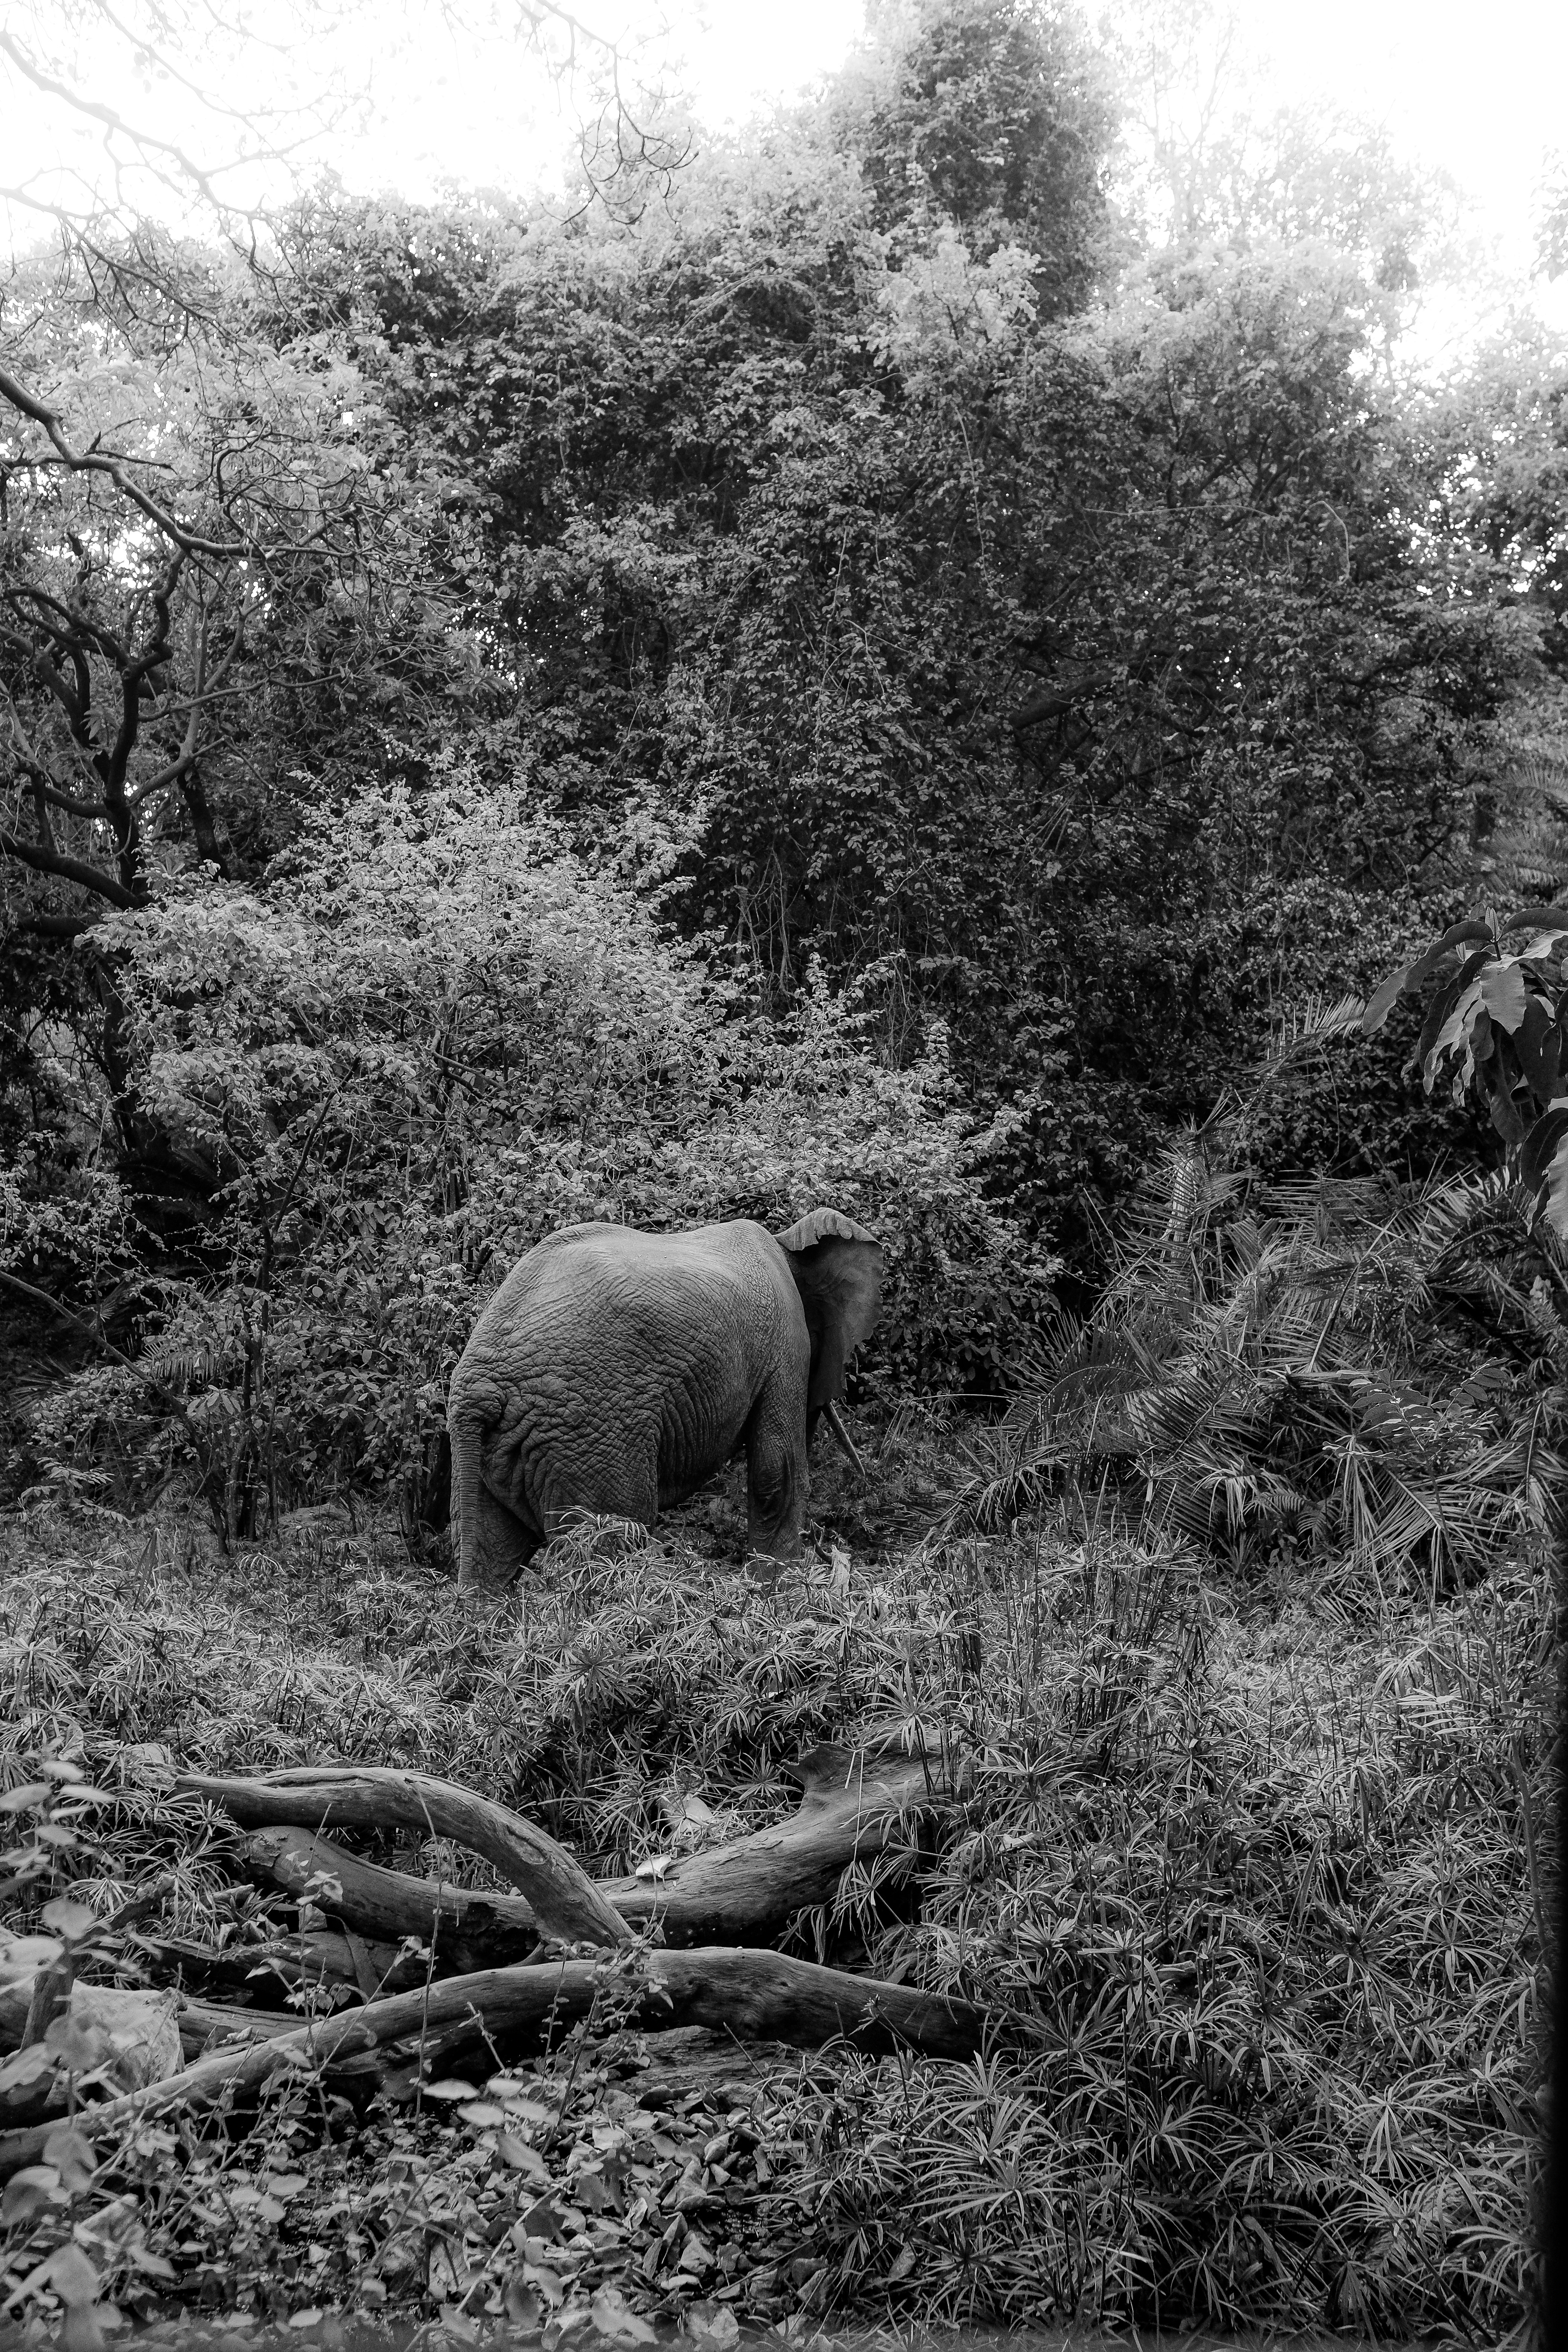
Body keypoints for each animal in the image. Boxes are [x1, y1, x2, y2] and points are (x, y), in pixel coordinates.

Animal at [446, 1207, 883, 1591]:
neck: (787, 1243)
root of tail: (479, 1392)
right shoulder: (786, 1344)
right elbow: (777, 1471)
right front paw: (783, 1591)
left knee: (488, 1563)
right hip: (590, 1434)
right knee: (615, 1536)